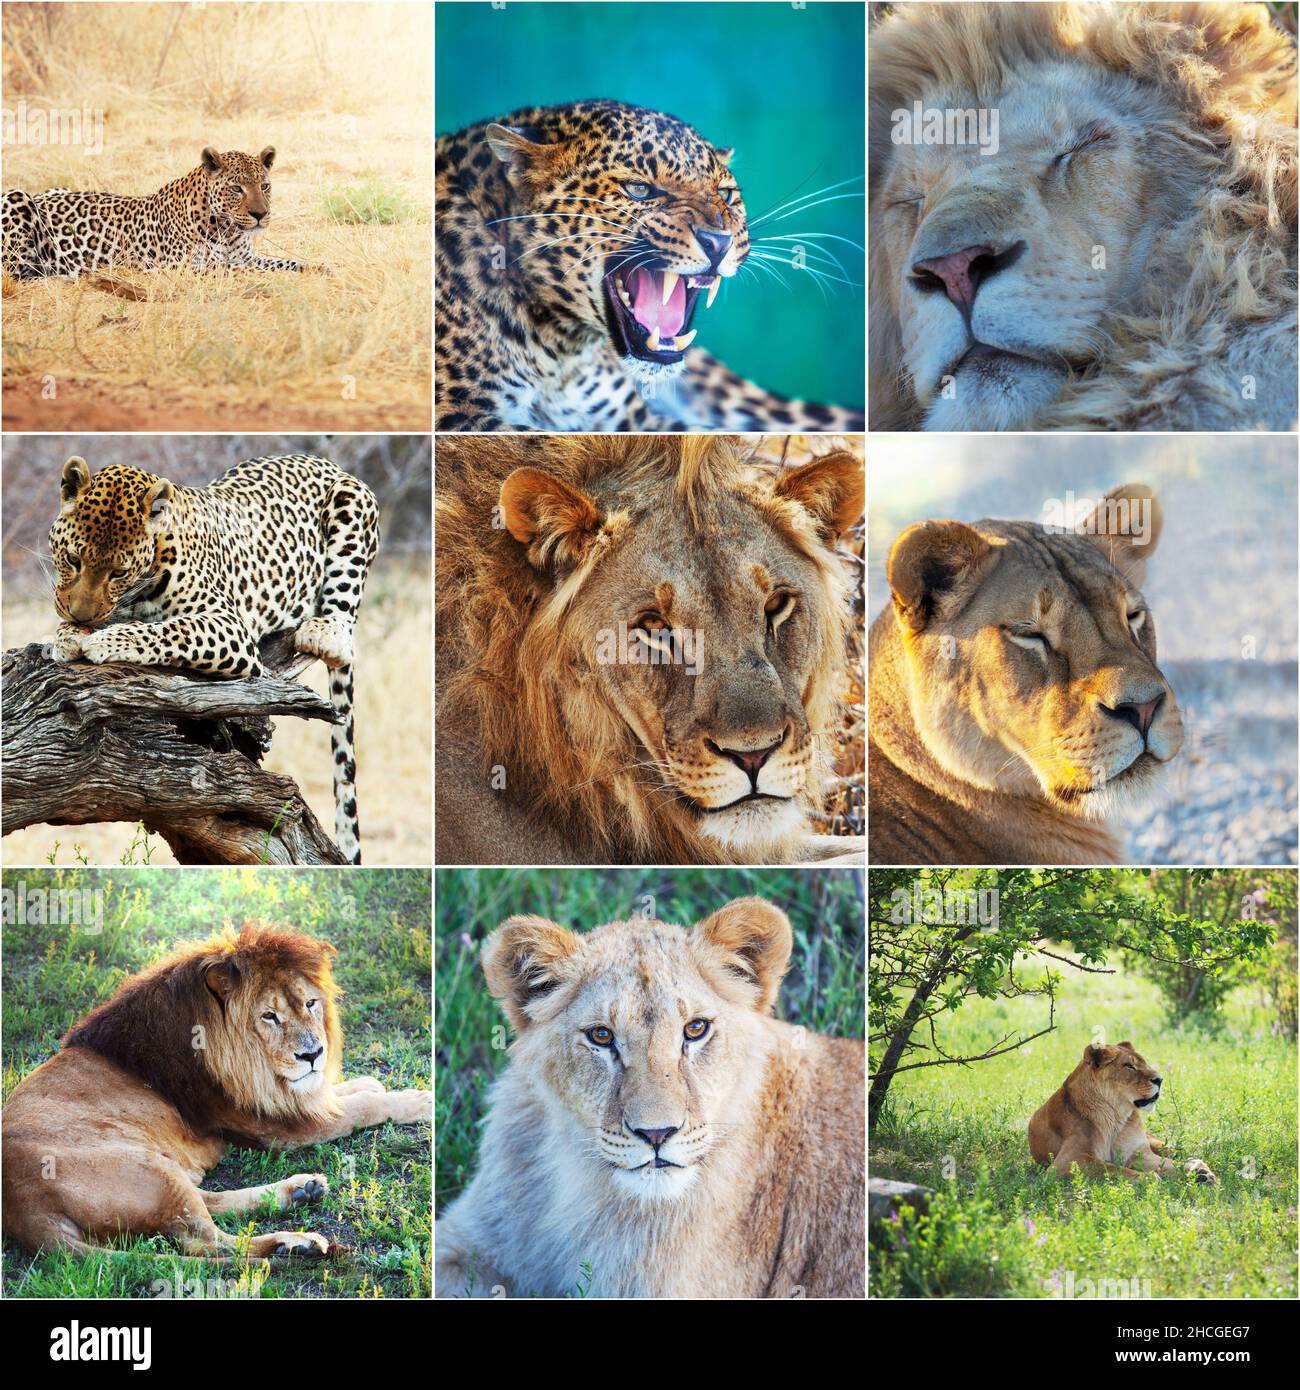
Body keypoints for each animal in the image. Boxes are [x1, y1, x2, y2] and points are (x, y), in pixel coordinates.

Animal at [1, 922, 432, 1262]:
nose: (312, 1054)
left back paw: (299, 1191)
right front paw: (418, 1100)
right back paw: (295, 1243)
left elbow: (342, 1094)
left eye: (311, 1003)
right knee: (206, 1242)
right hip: (146, 1167)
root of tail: (24, 1212)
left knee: (208, 1205)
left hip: (163, 1173)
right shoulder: (276, 1129)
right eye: (269, 1016)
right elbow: (361, 1107)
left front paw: (366, 1082)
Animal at [3, 146, 326, 283]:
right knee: (17, 273)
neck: (227, 229)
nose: (261, 214)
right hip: (16, 197)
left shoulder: (245, 256)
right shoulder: (182, 267)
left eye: (265, 186)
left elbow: (283, 262)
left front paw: (318, 268)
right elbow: (233, 269)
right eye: (236, 188)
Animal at [48, 455, 379, 863]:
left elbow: (169, 630)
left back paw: (323, 630)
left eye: (119, 572)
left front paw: (104, 639)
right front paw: (68, 635)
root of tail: (323, 462)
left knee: (342, 631)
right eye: (72, 559)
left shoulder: (230, 627)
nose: (81, 616)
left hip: (353, 504)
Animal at [435, 99, 865, 432]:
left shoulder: (632, 419)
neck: (560, 357)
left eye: (726, 194)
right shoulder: (461, 414)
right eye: (639, 190)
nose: (719, 241)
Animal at [1029, 1041, 1217, 1184]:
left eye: (1144, 1063)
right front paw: (1148, 1178)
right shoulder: (1068, 1161)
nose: (1160, 1079)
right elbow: (1112, 1169)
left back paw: (1199, 1166)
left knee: (1174, 1151)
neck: (1116, 1116)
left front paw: (1199, 1173)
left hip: (1153, 1141)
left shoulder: (1138, 1154)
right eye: (1129, 1066)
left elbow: (1169, 1164)